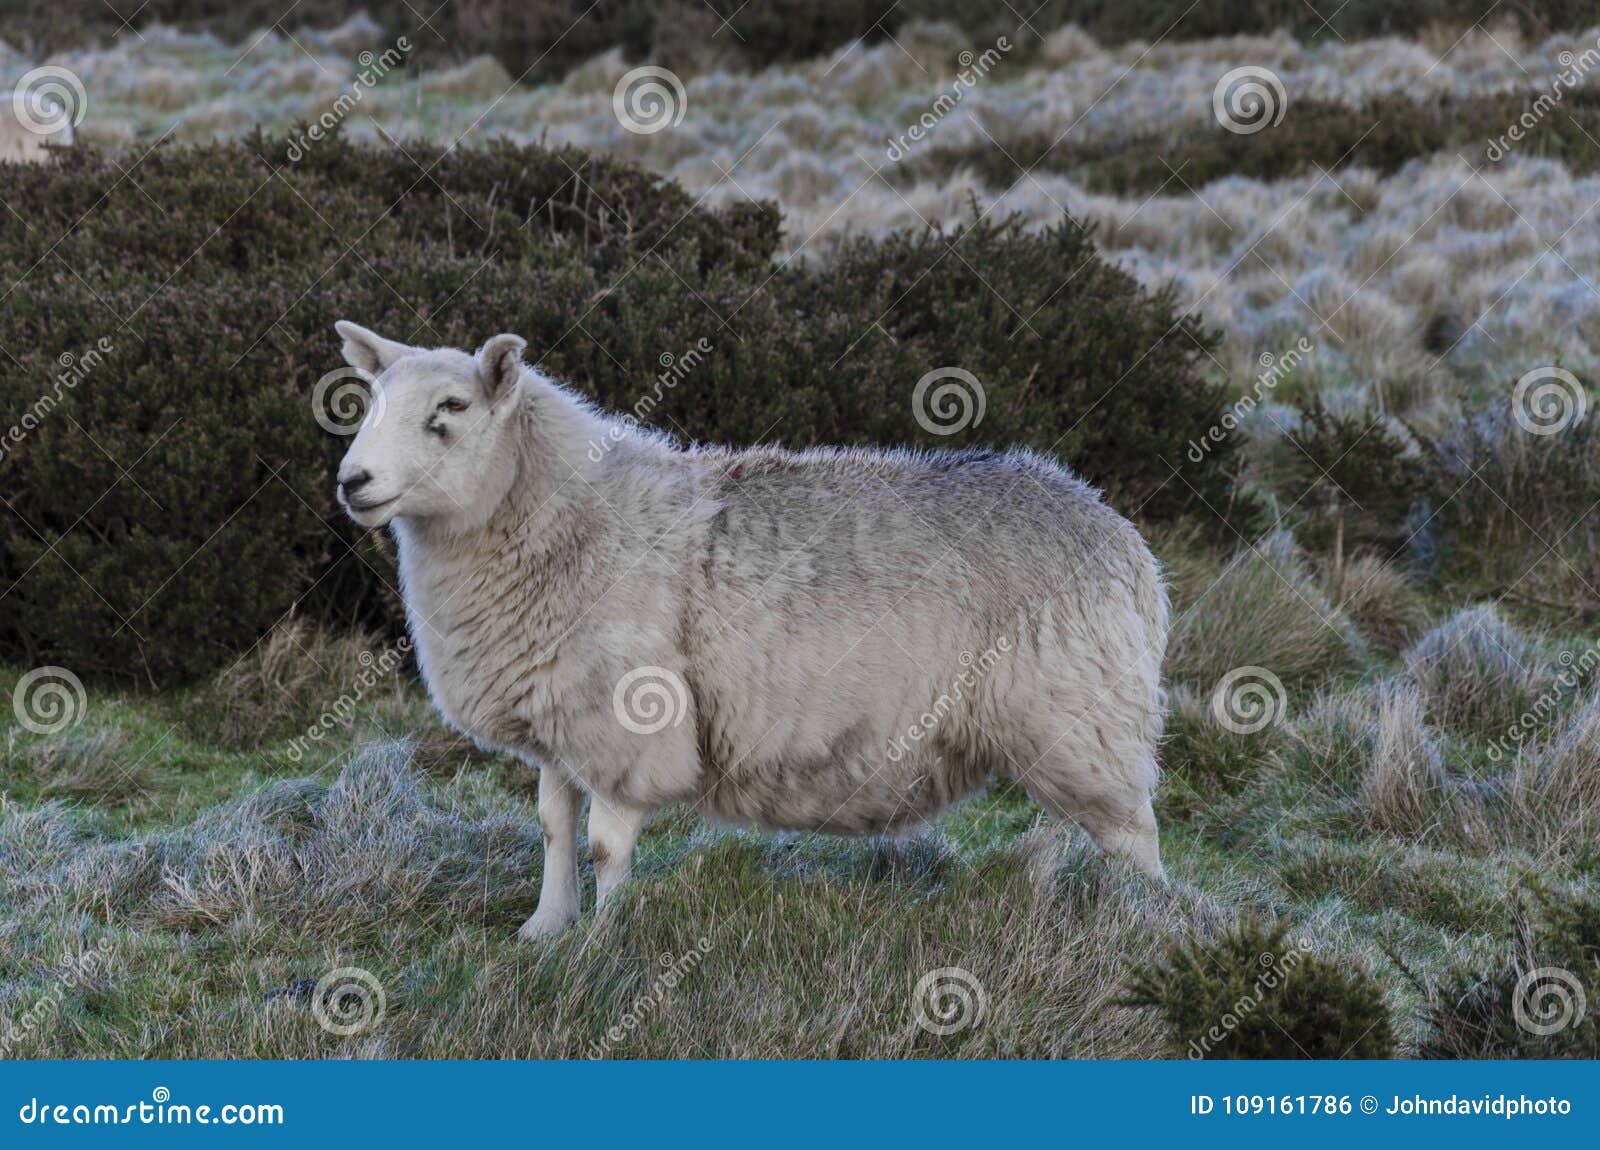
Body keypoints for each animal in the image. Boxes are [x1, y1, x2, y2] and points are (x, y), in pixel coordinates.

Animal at [332, 322, 1169, 940]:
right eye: (369, 402)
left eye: (449, 410)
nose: (352, 482)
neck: (563, 512)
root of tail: (1123, 538)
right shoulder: (561, 718)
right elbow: (551, 825)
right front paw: (545, 927)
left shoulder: (628, 725)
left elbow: (605, 845)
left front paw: (601, 944)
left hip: (1085, 714)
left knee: (1133, 836)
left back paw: (1142, 929)